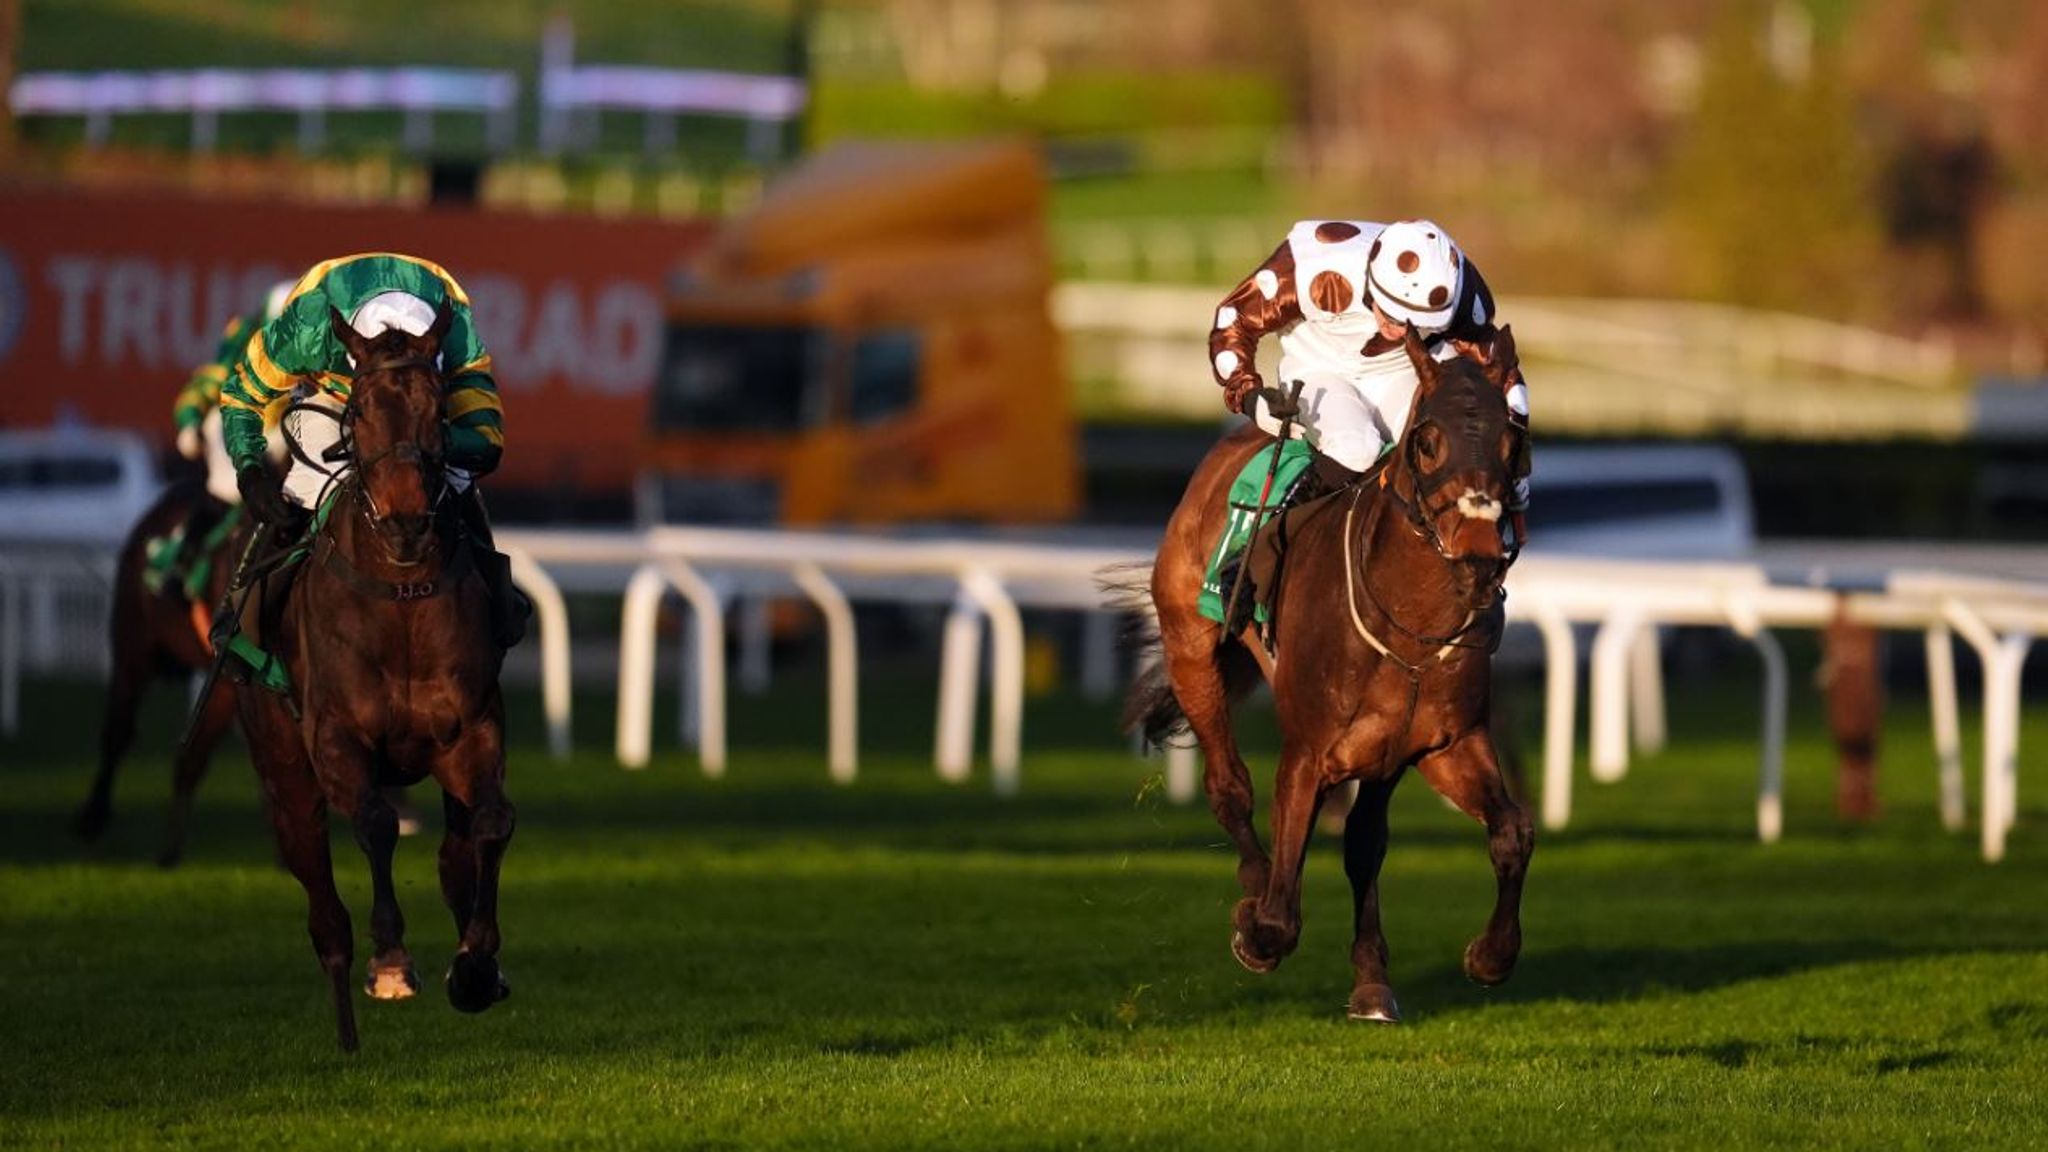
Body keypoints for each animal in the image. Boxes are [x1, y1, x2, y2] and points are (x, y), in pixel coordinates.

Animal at [238, 303, 514, 1052]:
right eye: (359, 408)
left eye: (438, 407)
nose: (407, 524)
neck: (401, 596)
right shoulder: (336, 742)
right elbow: (376, 822)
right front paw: (389, 962)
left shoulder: (472, 733)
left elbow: (490, 824)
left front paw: (476, 966)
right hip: (283, 771)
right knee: (322, 907)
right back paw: (346, 1028)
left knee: (454, 852)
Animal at [1125, 326, 1530, 1023]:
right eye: (1428, 440)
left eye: (1512, 442)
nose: (1480, 561)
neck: (1409, 625)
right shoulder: (1311, 750)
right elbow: (1281, 910)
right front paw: (1256, 926)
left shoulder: (1444, 744)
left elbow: (1512, 832)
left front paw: (1489, 955)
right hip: (1191, 650)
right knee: (1228, 785)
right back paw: (1253, 883)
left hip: (1384, 757)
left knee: (1365, 842)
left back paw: (1371, 980)